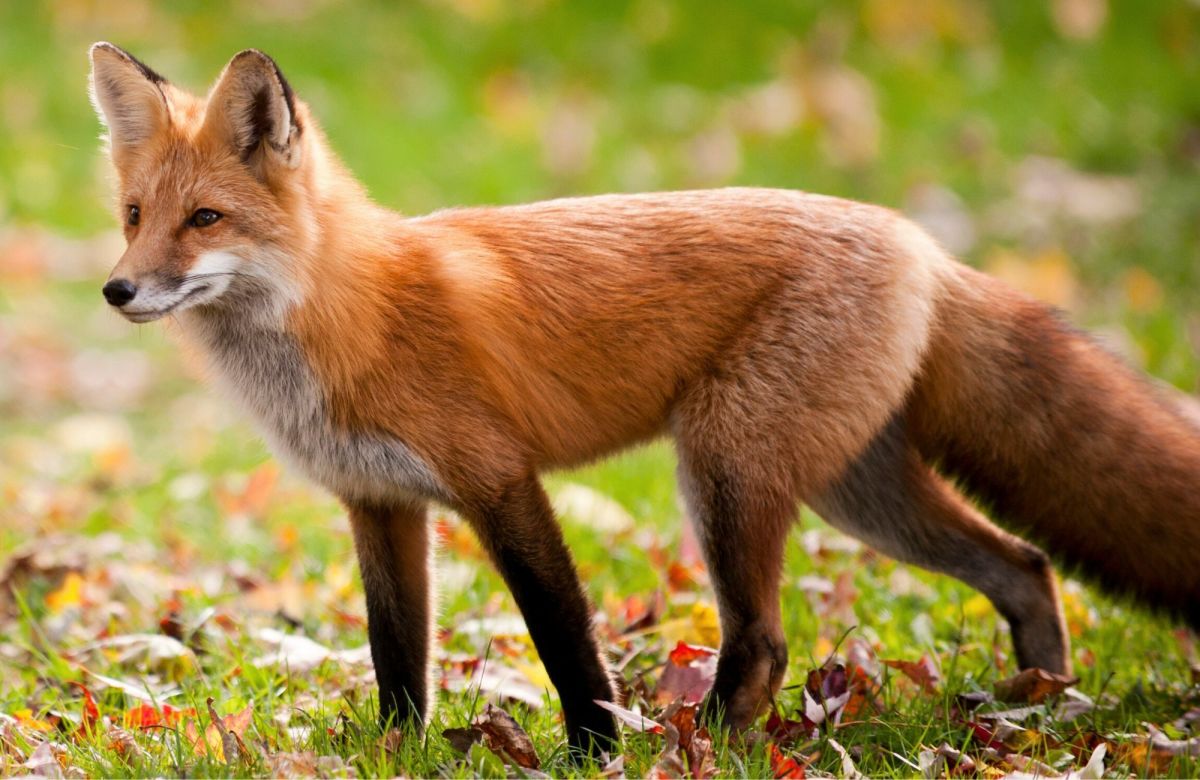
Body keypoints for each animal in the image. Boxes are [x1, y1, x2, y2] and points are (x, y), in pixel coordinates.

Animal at [89, 42, 1200, 754]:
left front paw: (594, 749)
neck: (343, 313)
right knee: (1025, 565)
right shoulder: (380, 502)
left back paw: (702, 745)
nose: (117, 291)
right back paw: (1038, 702)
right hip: (857, 493)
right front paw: (395, 753)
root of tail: (919, 242)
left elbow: (562, 634)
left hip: (724, 471)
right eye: (136, 216)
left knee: (766, 641)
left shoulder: (499, 480)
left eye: (204, 219)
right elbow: (396, 652)